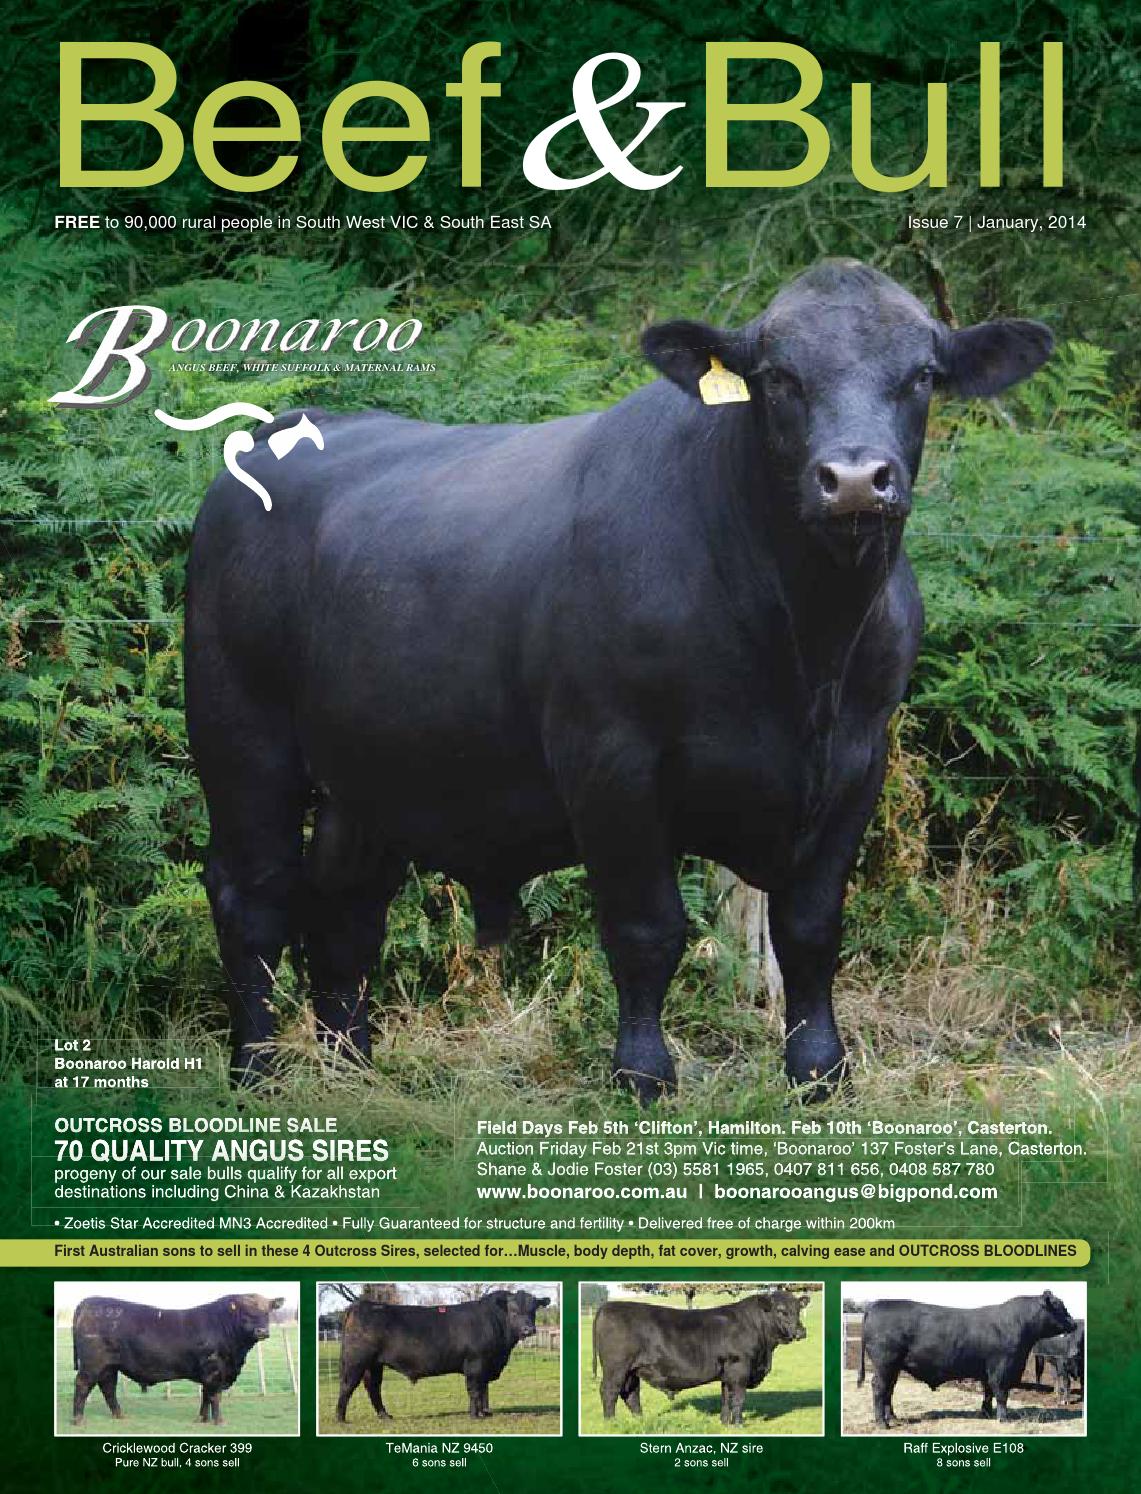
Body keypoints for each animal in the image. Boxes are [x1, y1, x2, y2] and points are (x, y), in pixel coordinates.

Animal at [71, 1293, 283, 1425]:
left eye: (267, 1312)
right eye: (246, 1312)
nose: (262, 1331)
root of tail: (89, 1301)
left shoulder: (209, 1373)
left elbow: (205, 1395)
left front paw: (202, 1419)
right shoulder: (215, 1370)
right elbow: (214, 1395)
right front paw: (219, 1421)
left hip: (109, 1366)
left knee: (108, 1387)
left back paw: (119, 1415)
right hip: (92, 1364)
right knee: (83, 1384)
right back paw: (78, 1419)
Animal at [185, 259, 1052, 1100]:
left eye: (921, 375)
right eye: (777, 375)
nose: (853, 479)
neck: (804, 644)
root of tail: (279, 435)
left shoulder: (855, 763)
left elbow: (808, 927)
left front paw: (819, 1072)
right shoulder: (610, 759)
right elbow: (646, 928)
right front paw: (642, 1075)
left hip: (370, 771)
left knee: (346, 912)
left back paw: (356, 1075)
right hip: (242, 742)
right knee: (254, 900)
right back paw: (257, 1075)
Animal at [335, 1289, 550, 1422]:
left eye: (534, 1310)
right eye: (513, 1310)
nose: (528, 1329)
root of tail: (361, 1306)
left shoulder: (486, 1365)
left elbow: (483, 1390)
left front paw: (484, 1413)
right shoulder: (475, 1363)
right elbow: (475, 1390)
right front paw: (475, 1415)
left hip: (374, 1364)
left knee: (373, 1387)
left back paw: (384, 1416)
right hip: (356, 1361)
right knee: (347, 1386)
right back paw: (340, 1418)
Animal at [591, 1289, 810, 1424]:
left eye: (798, 1310)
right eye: (781, 1311)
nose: (801, 1332)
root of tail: (607, 1306)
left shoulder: (727, 1372)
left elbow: (726, 1399)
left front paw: (725, 1424)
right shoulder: (739, 1369)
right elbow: (738, 1399)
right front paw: (738, 1424)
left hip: (632, 1370)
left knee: (631, 1394)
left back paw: (640, 1421)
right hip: (616, 1368)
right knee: (609, 1392)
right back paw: (611, 1424)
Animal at [857, 1291, 1077, 1426]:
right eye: (1059, 1306)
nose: (1074, 1324)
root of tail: (876, 1304)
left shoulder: (988, 1370)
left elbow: (988, 1392)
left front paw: (986, 1413)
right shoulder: (1001, 1368)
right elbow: (1001, 1393)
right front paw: (1003, 1418)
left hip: (893, 1367)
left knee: (889, 1390)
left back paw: (893, 1418)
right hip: (885, 1364)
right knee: (879, 1388)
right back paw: (882, 1423)